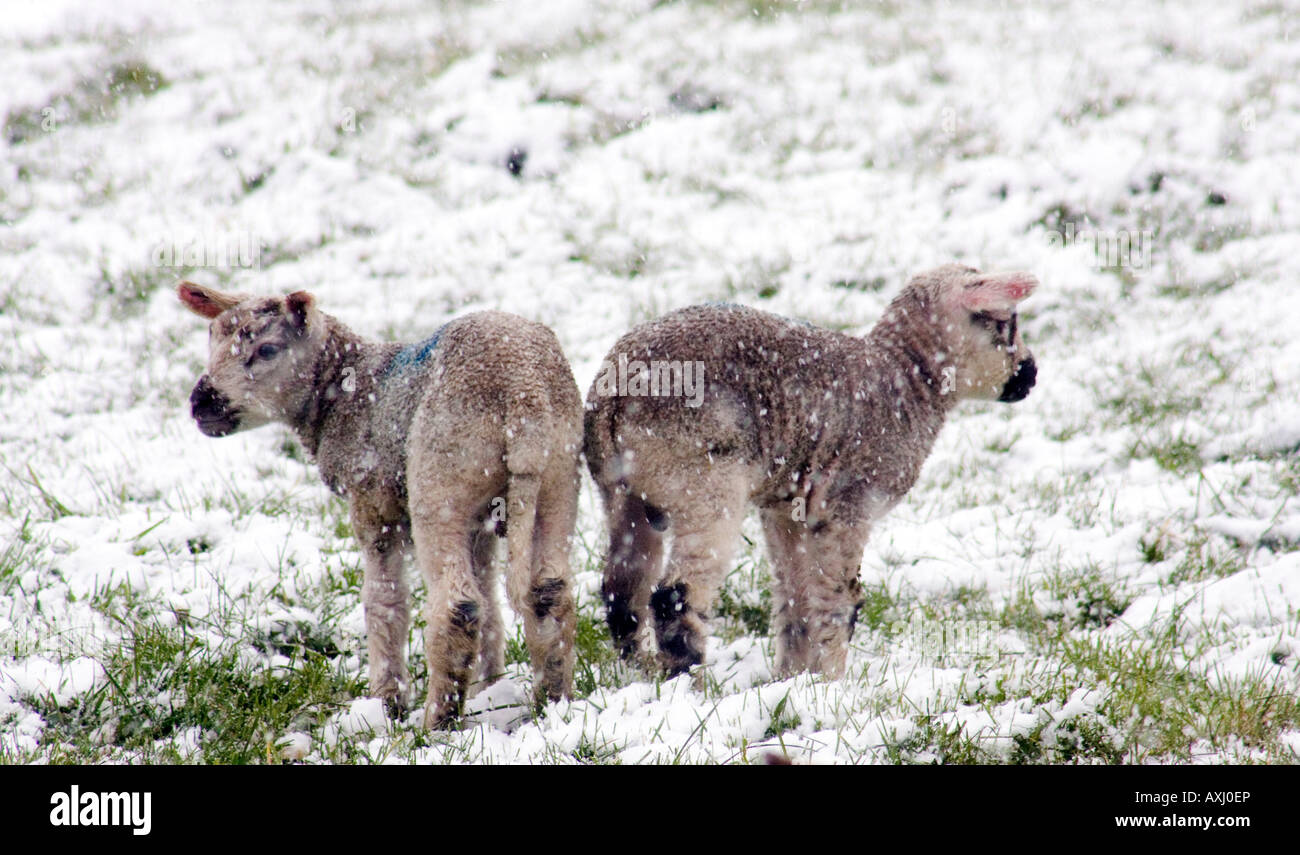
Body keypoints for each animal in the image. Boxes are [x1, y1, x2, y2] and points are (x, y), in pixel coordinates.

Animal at [178, 283, 584, 728]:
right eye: (212, 336)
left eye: (267, 350)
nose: (201, 403)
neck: (344, 393)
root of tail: (522, 396)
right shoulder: (480, 522)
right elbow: (491, 599)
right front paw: (490, 686)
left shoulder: (373, 504)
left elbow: (383, 601)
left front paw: (386, 701)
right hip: (559, 474)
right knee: (548, 592)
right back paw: (552, 702)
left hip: (441, 480)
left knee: (458, 606)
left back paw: (436, 722)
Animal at [583, 264, 1038, 678]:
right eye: (1007, 324)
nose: (1031, 374)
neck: (906, 383)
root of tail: (615, 392)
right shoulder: (850, 504)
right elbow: (839, 601)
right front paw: (835, 682)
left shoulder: (789, 511)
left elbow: (796, 600)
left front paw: (795, 678)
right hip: (706, 484)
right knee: (674, 594)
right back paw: (689, 680)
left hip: (623, 493)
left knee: (622, 590)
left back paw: (641, 671)